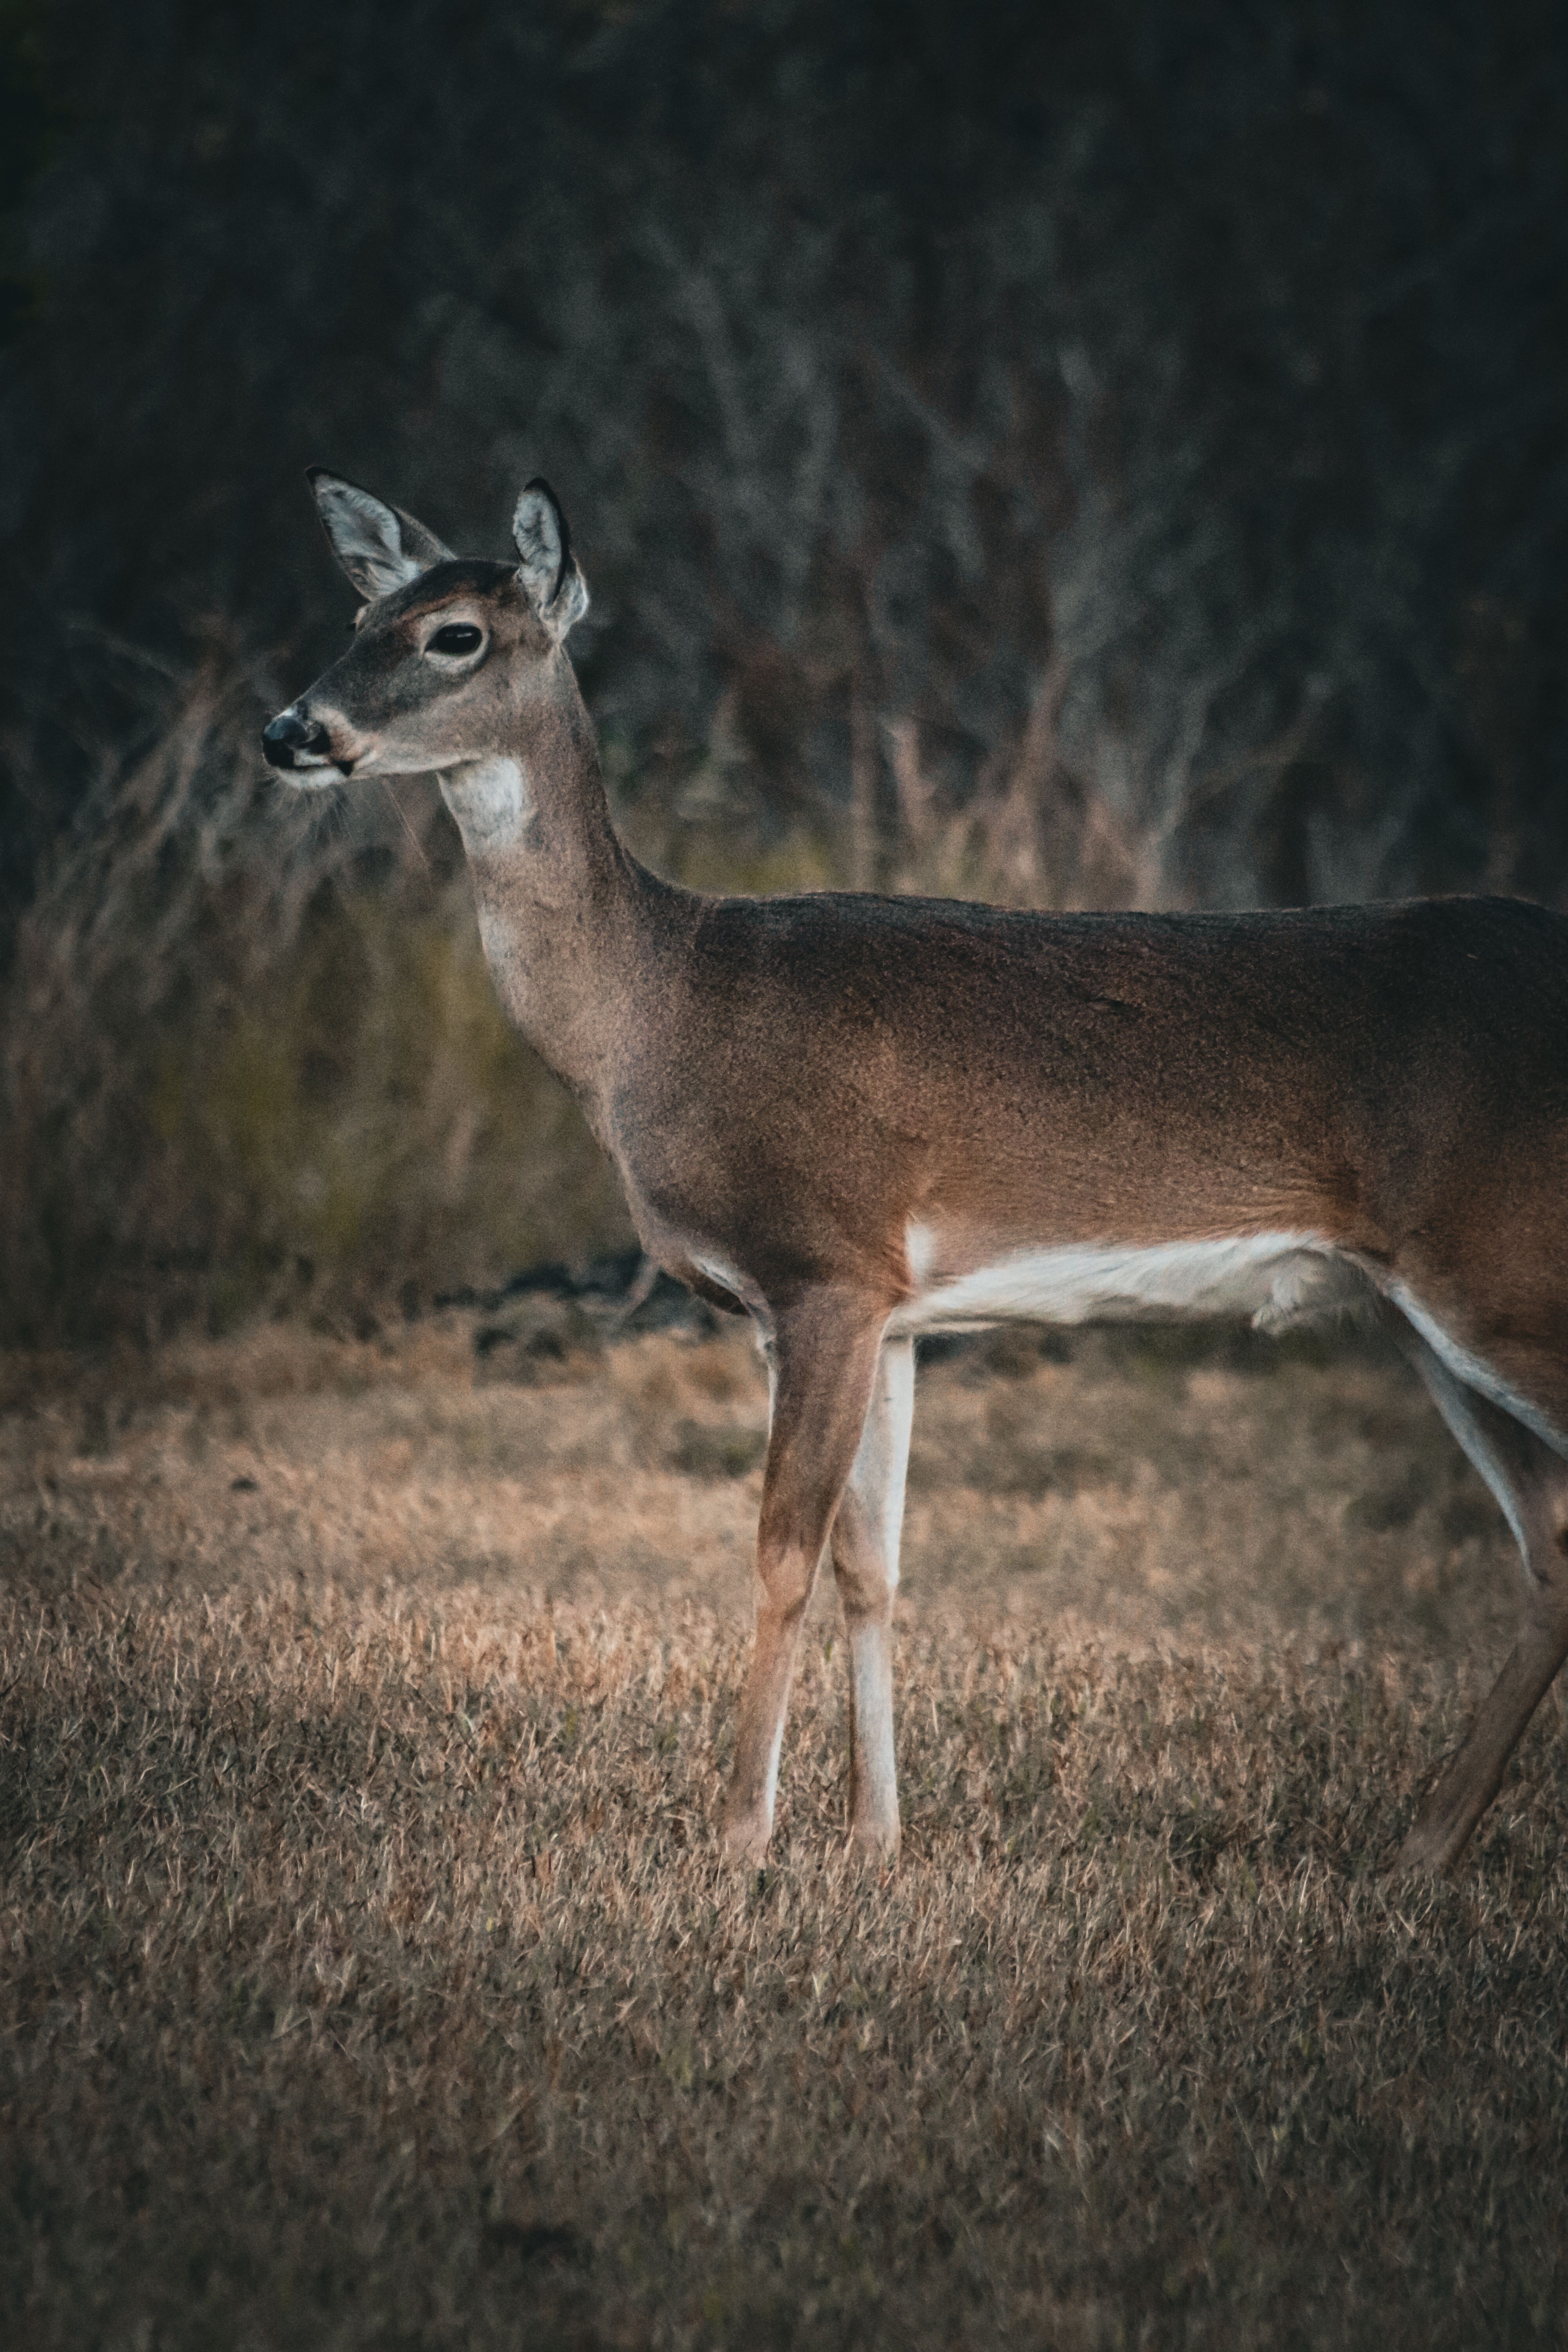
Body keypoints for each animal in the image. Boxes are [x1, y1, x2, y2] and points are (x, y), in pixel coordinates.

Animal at [263, 467, 1568, 1877]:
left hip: (1501, 1272)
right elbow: (870, 1567)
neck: (659, 1009)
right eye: (361, 611)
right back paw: (1420, 1846)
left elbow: (781, 1553)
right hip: (1424, 1314)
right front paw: (874, 1839)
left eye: (456, 634)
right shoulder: (886, 1308)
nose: (291, 730)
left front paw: (739, 1838)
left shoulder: (822, 1263)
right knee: (1549, 1551)